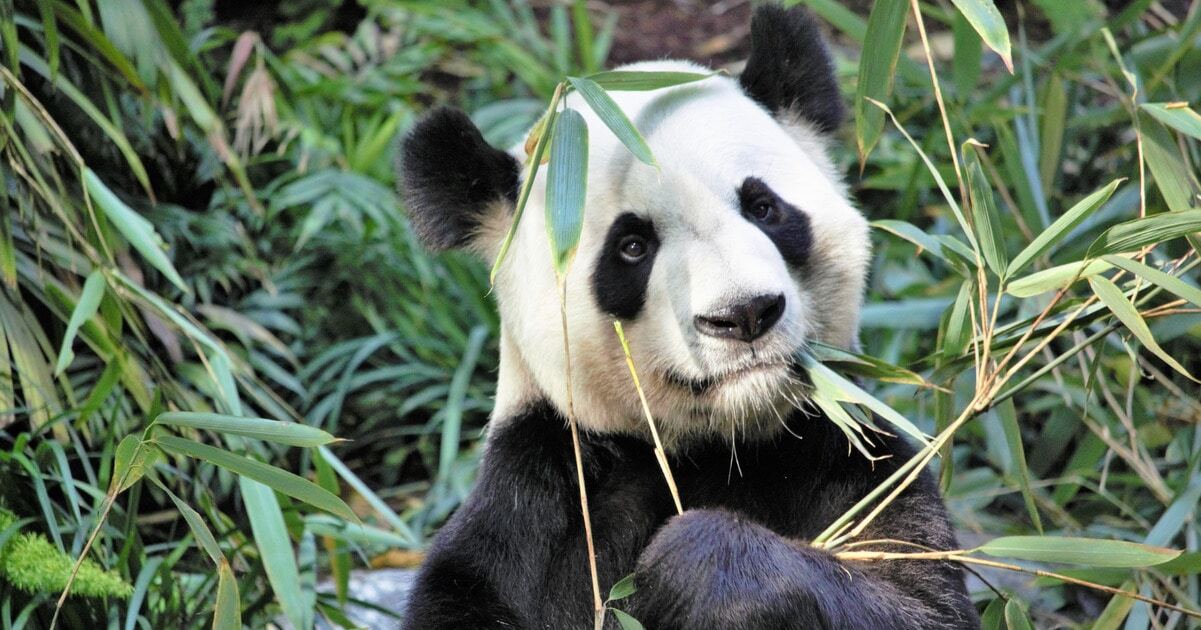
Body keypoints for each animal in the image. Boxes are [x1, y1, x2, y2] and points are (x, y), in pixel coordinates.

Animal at [397, 5, 978, 629]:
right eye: (631, 246)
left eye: (764, 208)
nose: (743, 314)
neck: (719, 449)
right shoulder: (539, 498)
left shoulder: (850, 458)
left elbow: (915, 597)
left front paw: (695, 565)